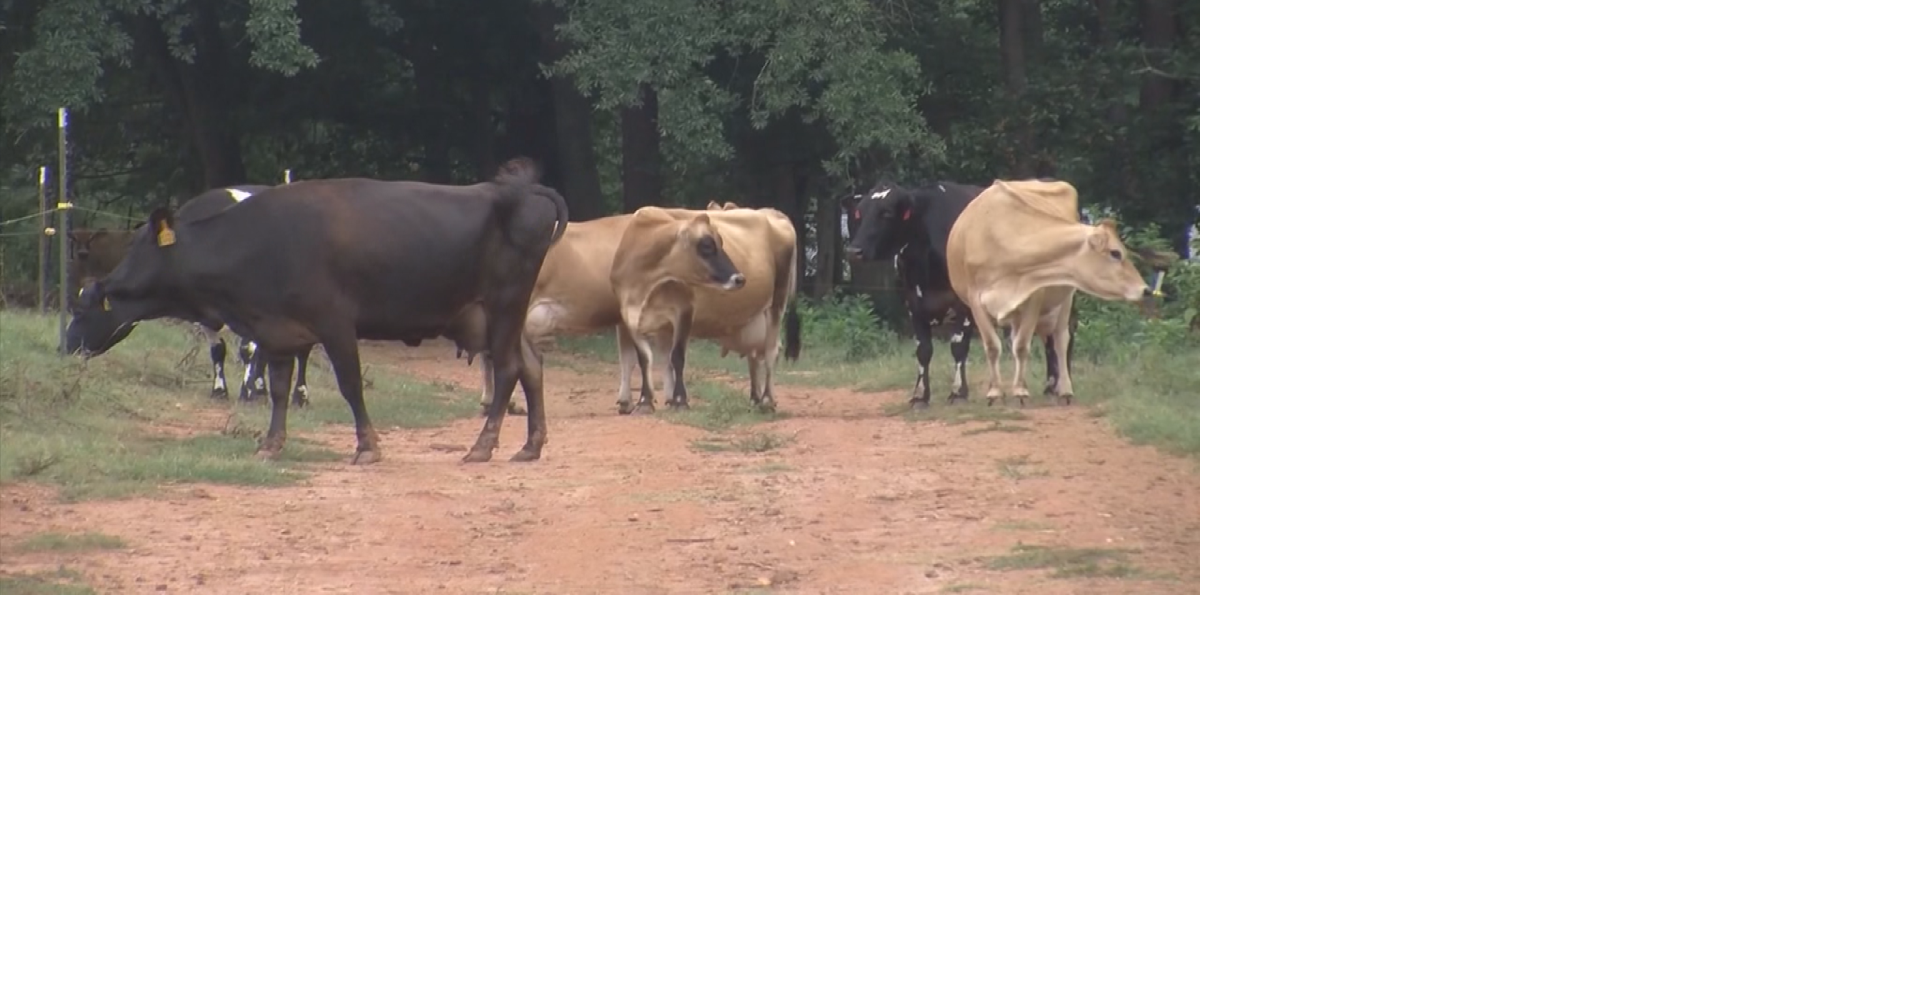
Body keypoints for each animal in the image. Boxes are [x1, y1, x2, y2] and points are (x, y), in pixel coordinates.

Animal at [69, 190, 315, 405]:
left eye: (80, 312)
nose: (65, 346)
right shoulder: (204, 312)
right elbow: (218, 350)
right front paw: (220, 391)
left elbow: (248, 350)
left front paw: (246, 393)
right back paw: (263, 390)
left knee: (302, 352)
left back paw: (299, 397)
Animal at [610, 204, 801, 415]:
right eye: (707, 246)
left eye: (721, 243)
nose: (739, 278)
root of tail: (770, 212)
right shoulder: (630, 315)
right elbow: (646, 359)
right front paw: (645, 402)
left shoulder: (685, 309)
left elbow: (676, 356)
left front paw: (679, 401)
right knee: (754, 355)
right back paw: (755, 398)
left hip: (777, 302)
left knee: (771, 350)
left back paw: (767, 399)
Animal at [846, 179, 1077, 408]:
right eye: (859, 213)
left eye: (886, 213)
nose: (853, 251)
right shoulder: (913, 303)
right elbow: (923, 350)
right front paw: (920, 396)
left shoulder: (964, 304)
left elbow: (958, 346)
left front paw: (957, 393)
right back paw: (1045, 387)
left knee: (1062, 337)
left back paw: (1060, 388)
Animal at [946, 179, 1149, 406]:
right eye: (1115, 253)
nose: (1146, 290)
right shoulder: (975, 300)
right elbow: (992, 346)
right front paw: (996, 392)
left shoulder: (1034, 296)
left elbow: (1022, 346)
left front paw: (1020, 391)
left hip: (1066, 297)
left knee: (1060, 340)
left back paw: (1064, 390)